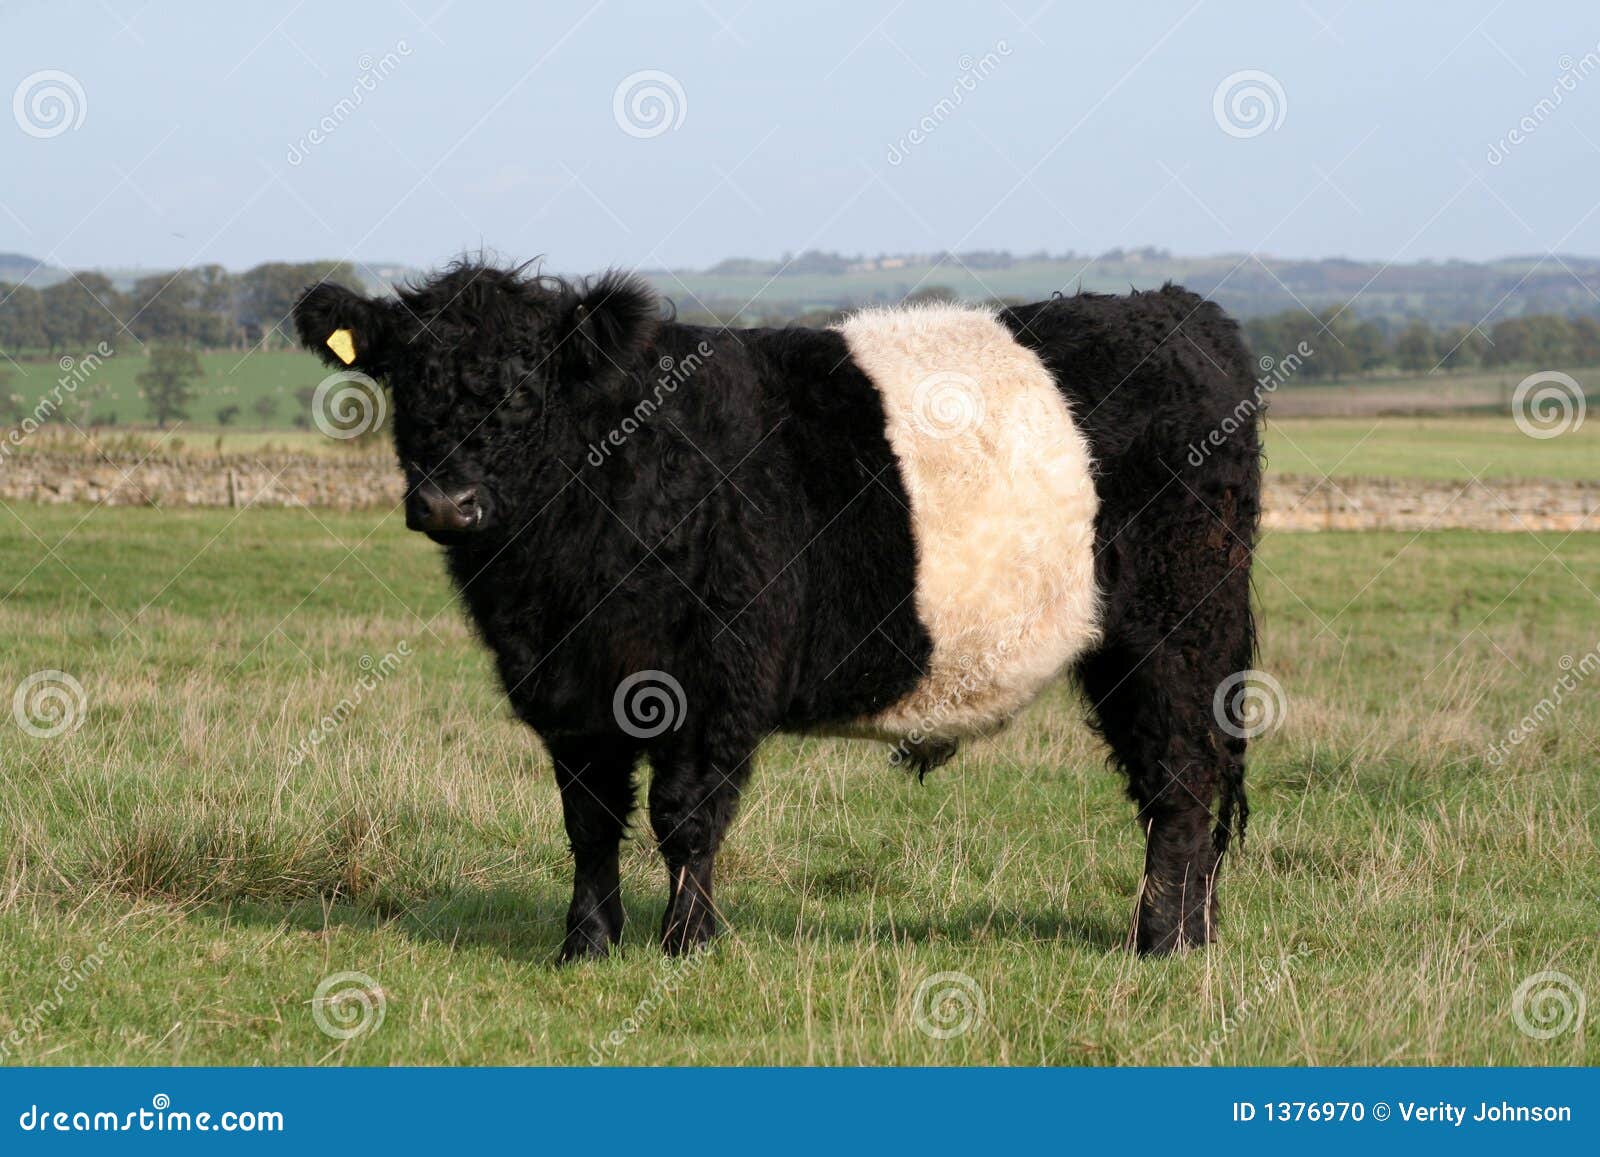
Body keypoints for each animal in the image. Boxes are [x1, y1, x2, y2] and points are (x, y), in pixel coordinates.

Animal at [293, 263, 1261, 960]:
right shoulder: (569, 687)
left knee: (1179, 776)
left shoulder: (717, 673)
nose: (448, 502)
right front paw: (587, 944)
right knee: (1178, 778)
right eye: (406, 381)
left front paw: (688, 943)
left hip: (1176, 630)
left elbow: (684, 813)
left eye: (526, 389)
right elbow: (589, 819)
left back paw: (1160, 941)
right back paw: (1194, 929)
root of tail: (1178, 309)